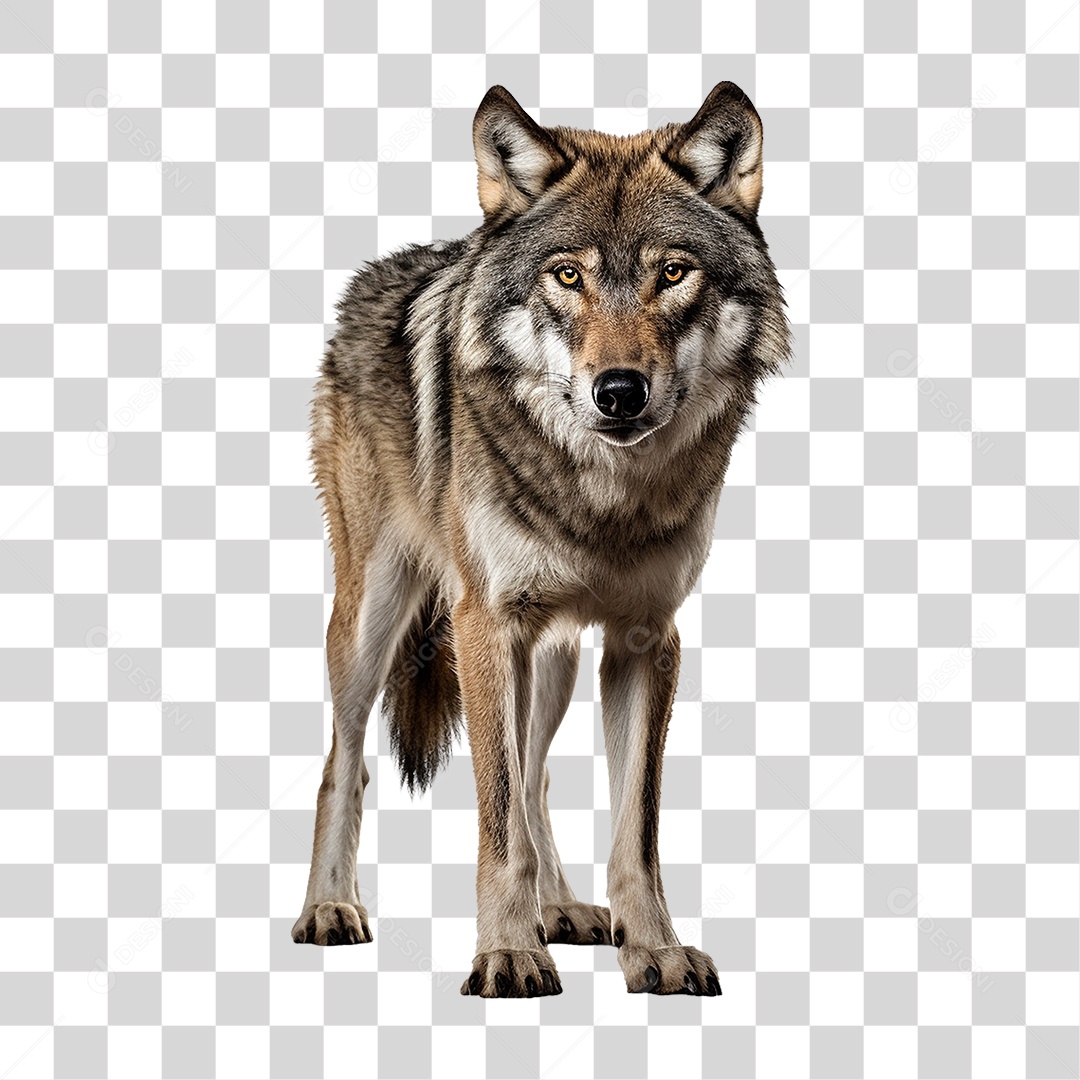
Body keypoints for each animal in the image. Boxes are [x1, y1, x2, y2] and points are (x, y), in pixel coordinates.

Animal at [292, 82, 791, 997]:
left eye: (673, 272)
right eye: (568, 275)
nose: (620, 391)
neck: (602, 495)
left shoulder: (645, 639)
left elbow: (634, 829)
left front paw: (654, 949)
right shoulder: (485, 624)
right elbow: (493, 823)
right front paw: (507, 954)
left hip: (550, 658)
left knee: (536, 778)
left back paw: (559, 908)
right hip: (375, 620)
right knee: (347, 762)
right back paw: (331, 909)